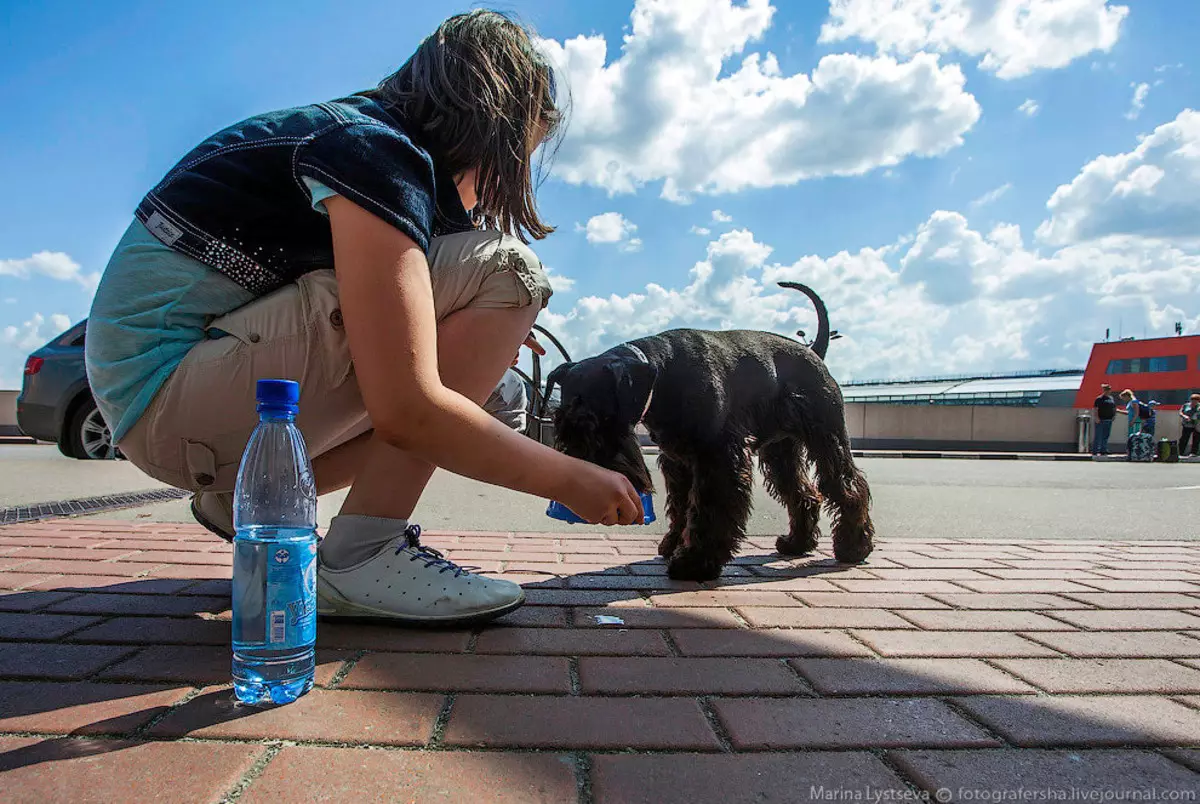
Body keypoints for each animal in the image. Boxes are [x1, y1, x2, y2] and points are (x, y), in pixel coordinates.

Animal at [544, 283, 873, 580]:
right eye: (558, 420)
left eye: (594, 422)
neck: (662, 376)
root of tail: (812, 350)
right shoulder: (677, 460)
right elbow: (682, 505)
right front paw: (674, 543)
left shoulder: (718, 457)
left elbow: (708, 509)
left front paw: (694, 562)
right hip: (781, 451)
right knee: (803, 492)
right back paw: (797, 543)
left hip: (826, 436)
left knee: (847, 485)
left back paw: (853, 547)